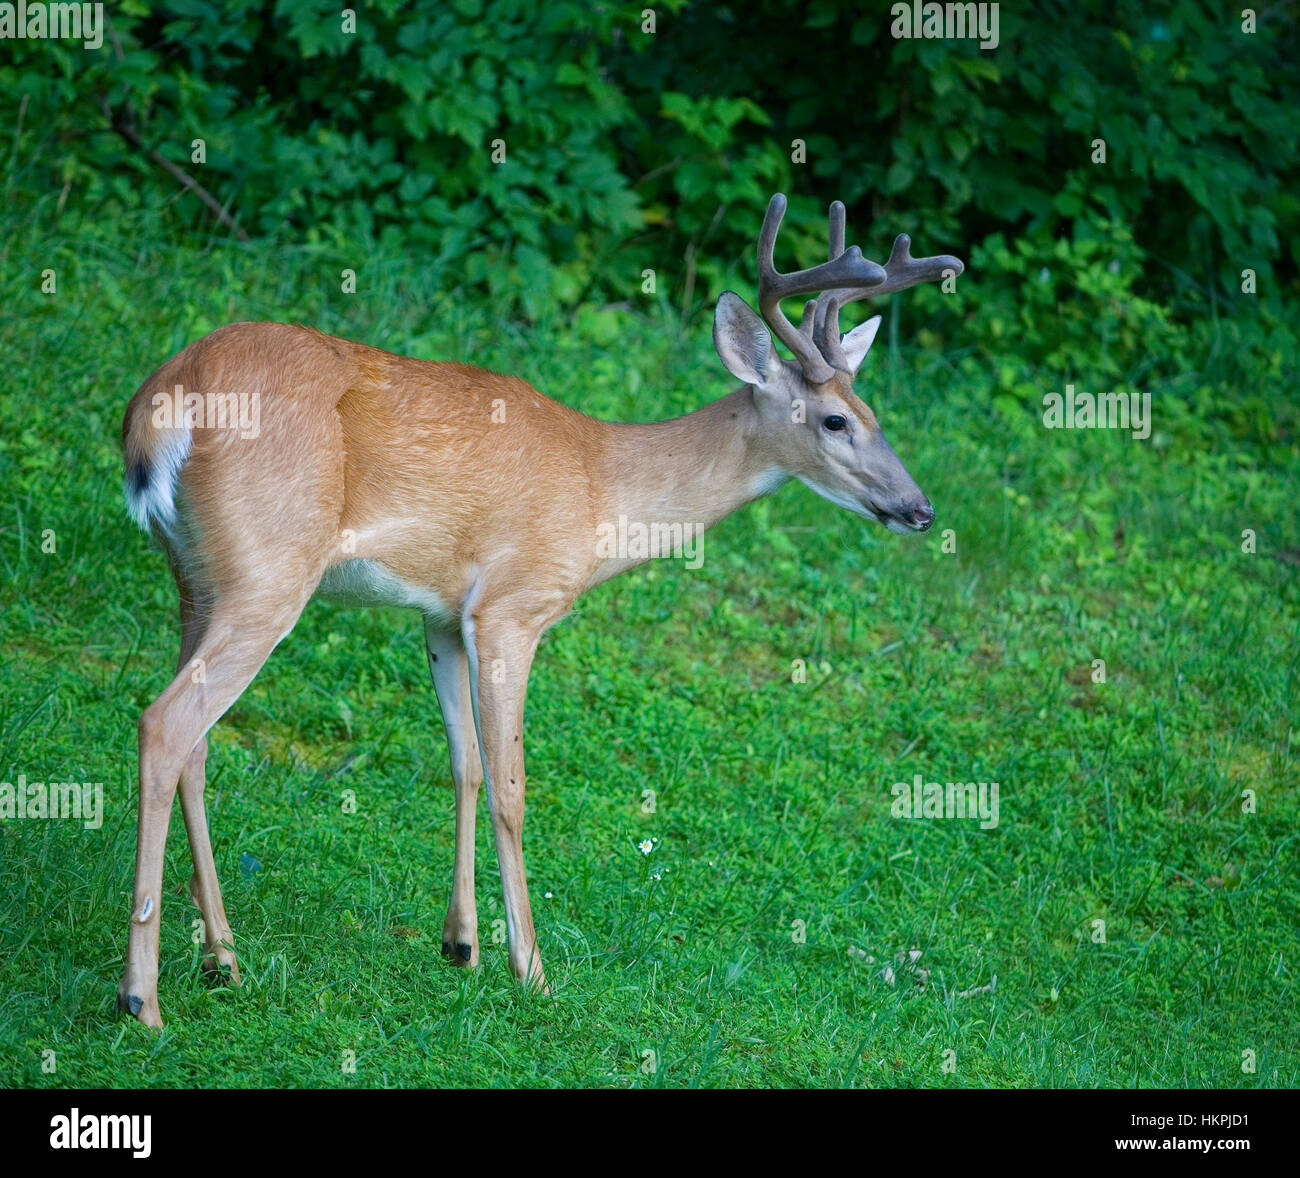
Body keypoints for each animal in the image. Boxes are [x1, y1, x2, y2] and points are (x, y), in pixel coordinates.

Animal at [117, 193, 962, 1026]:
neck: (603, 489)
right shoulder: (514, 607)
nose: (920, 509)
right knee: (166, 723)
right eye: (835, 420)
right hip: (269, 568)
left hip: (195, 576)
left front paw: (461, 945)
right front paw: (532, 970)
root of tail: (163, 401)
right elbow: (513, 786)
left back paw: (222, 957)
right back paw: (142, 996)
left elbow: (463, 765)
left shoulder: (441, 613)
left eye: (874, 412)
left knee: (197, 741)